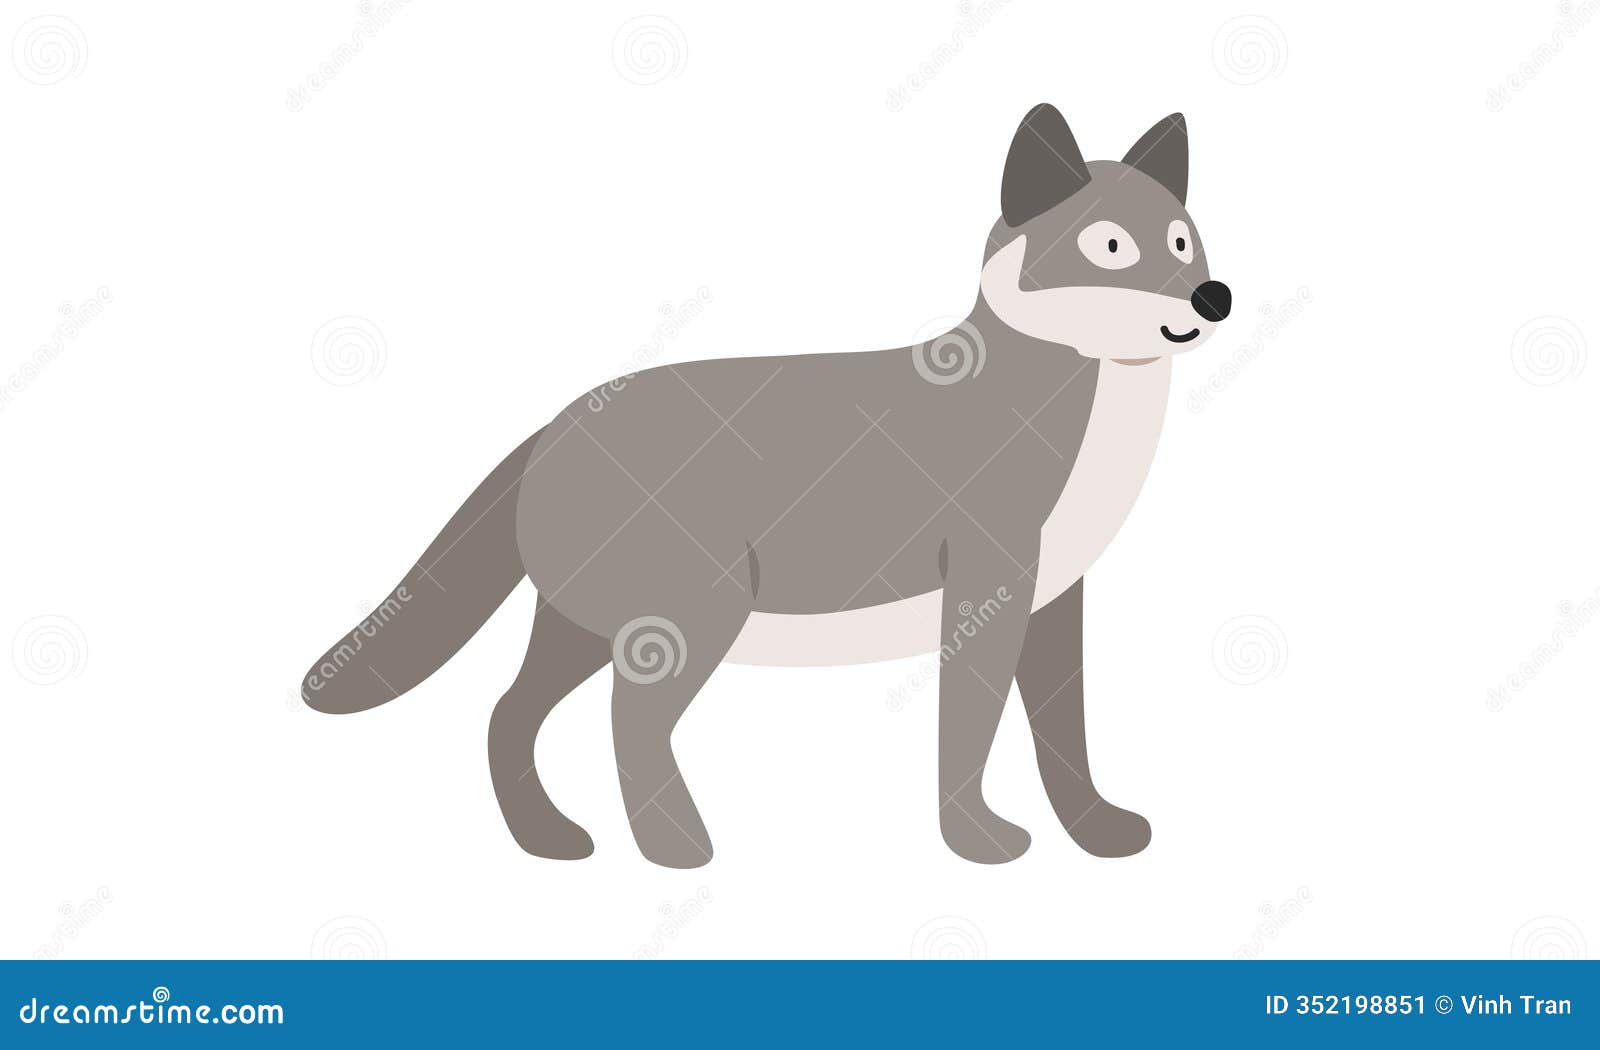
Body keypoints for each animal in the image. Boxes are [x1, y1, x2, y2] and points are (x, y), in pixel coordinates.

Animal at [303, 104, 1231, 867]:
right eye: (1109, 247)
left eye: (1184, 241)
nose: (1212, 297)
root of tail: (557, 423)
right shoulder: (987, 583)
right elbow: (967, 730)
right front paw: (978, 842)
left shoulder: (1054, 600)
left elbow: (1064, 736)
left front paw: (1098, 834)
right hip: (689, 620)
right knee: (627, 724)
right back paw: (675, 848)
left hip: (587, 626)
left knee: (507, 712)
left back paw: (549, 840)